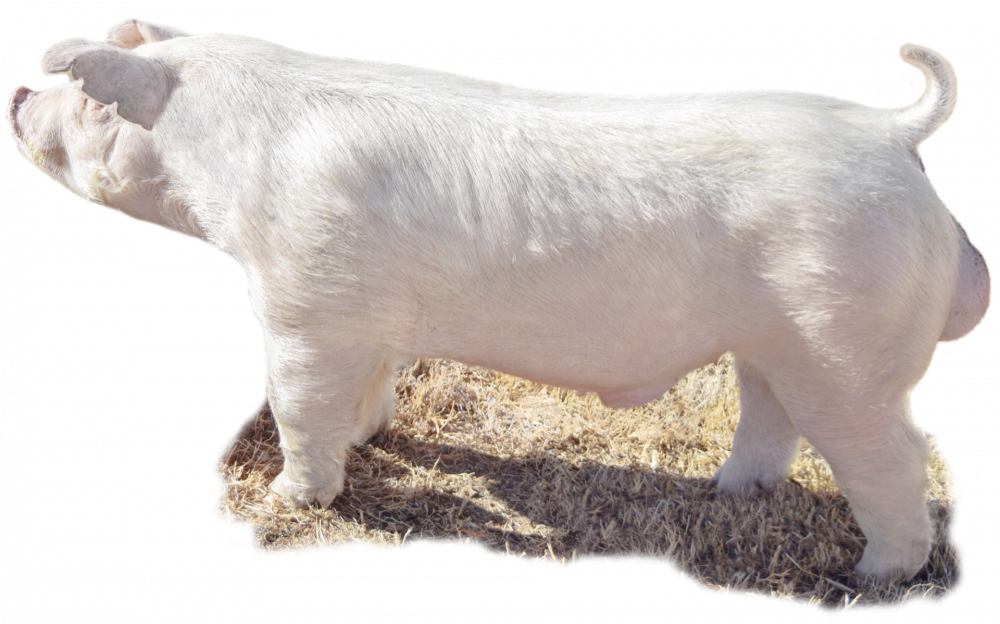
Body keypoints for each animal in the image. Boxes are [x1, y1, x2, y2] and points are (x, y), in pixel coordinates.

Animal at [6, 17, 991, 581]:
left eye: (89, 99)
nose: (19, 96)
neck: (219, 163)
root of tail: (891, 135)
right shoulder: (368, 312)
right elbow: (370, 386)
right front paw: (373, 436)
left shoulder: (304, 296)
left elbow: (298, 402)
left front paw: (292, 500)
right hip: (778, 341)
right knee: (770, 417)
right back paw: (727, 493)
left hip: (844, 340)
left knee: (892, 456)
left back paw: (873, 580)